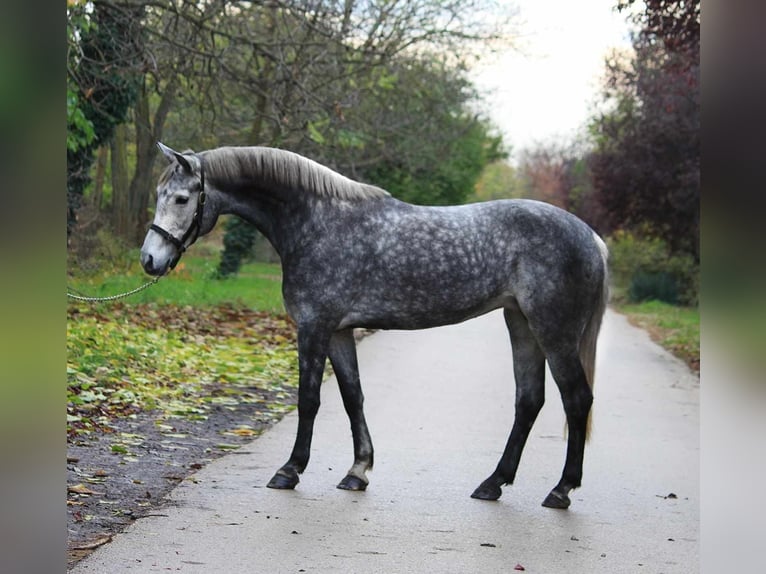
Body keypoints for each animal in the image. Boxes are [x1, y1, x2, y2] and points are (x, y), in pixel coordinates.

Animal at [141, 142, 609, 509]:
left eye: (181, 198)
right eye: (160, 193)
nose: (149, 260)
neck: (316, 222)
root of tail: (592, 238)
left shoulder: (314, 327)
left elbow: (309, 399)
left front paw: (290, 470)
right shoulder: (339, 331)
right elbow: (353, 398)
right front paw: (358, 471)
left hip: (554, 331)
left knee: (577, 400)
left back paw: (561, 490)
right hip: (521, 324)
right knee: (529, 401)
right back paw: (493, 484)